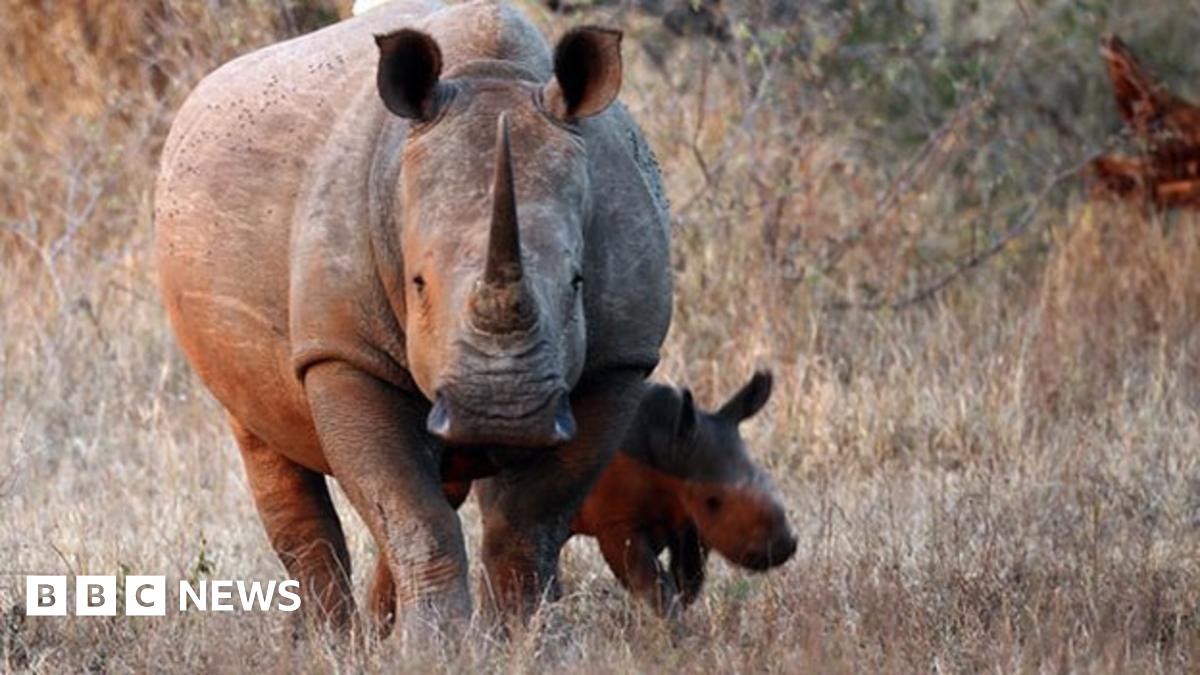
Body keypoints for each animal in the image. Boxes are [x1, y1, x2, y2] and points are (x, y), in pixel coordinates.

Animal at [155, 0, 672, 633]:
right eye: (418, 283)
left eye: (577, 283)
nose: (501, 412)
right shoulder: (343, 352)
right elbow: (413, 513)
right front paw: (436, 644)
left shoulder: (619, 361)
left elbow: (528, 523)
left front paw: (528, 640)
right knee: (263, 438)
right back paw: (331, 641)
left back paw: (377, 634)